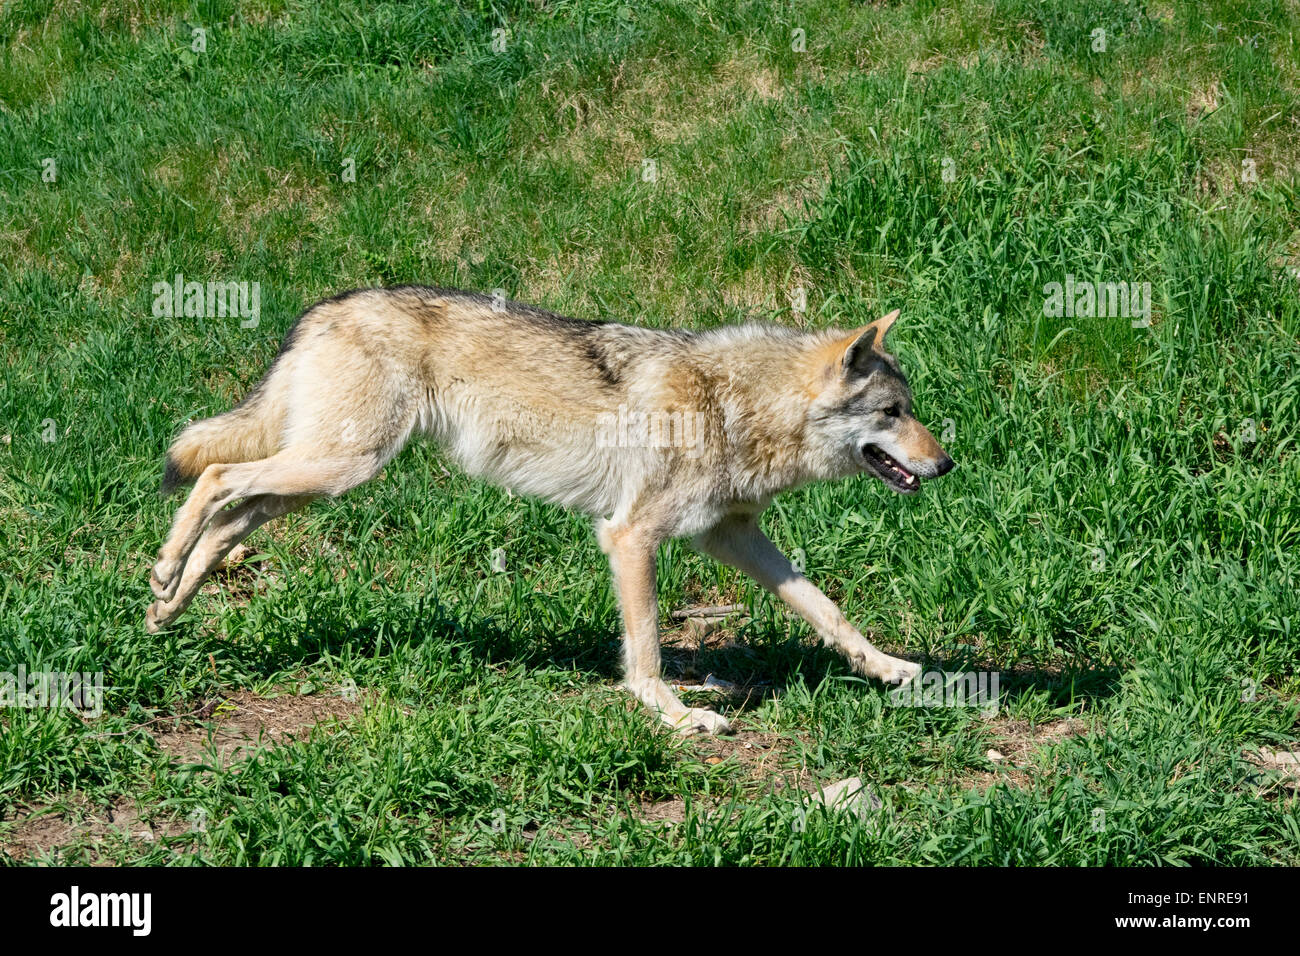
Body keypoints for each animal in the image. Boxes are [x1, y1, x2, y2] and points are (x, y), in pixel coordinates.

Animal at [149, 287, 954, 734]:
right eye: (892, 413)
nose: (947, 465)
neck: (738, 406)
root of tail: (321, 308)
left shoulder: (729, 536)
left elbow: (826, 609)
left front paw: (890, 669)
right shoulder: (630, 536)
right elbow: (647, 646)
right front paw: (677, 716)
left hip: (325, 478)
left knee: (232, 514)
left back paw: (166, 608)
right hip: (339, 466)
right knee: (214, 474)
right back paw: (161, 576)